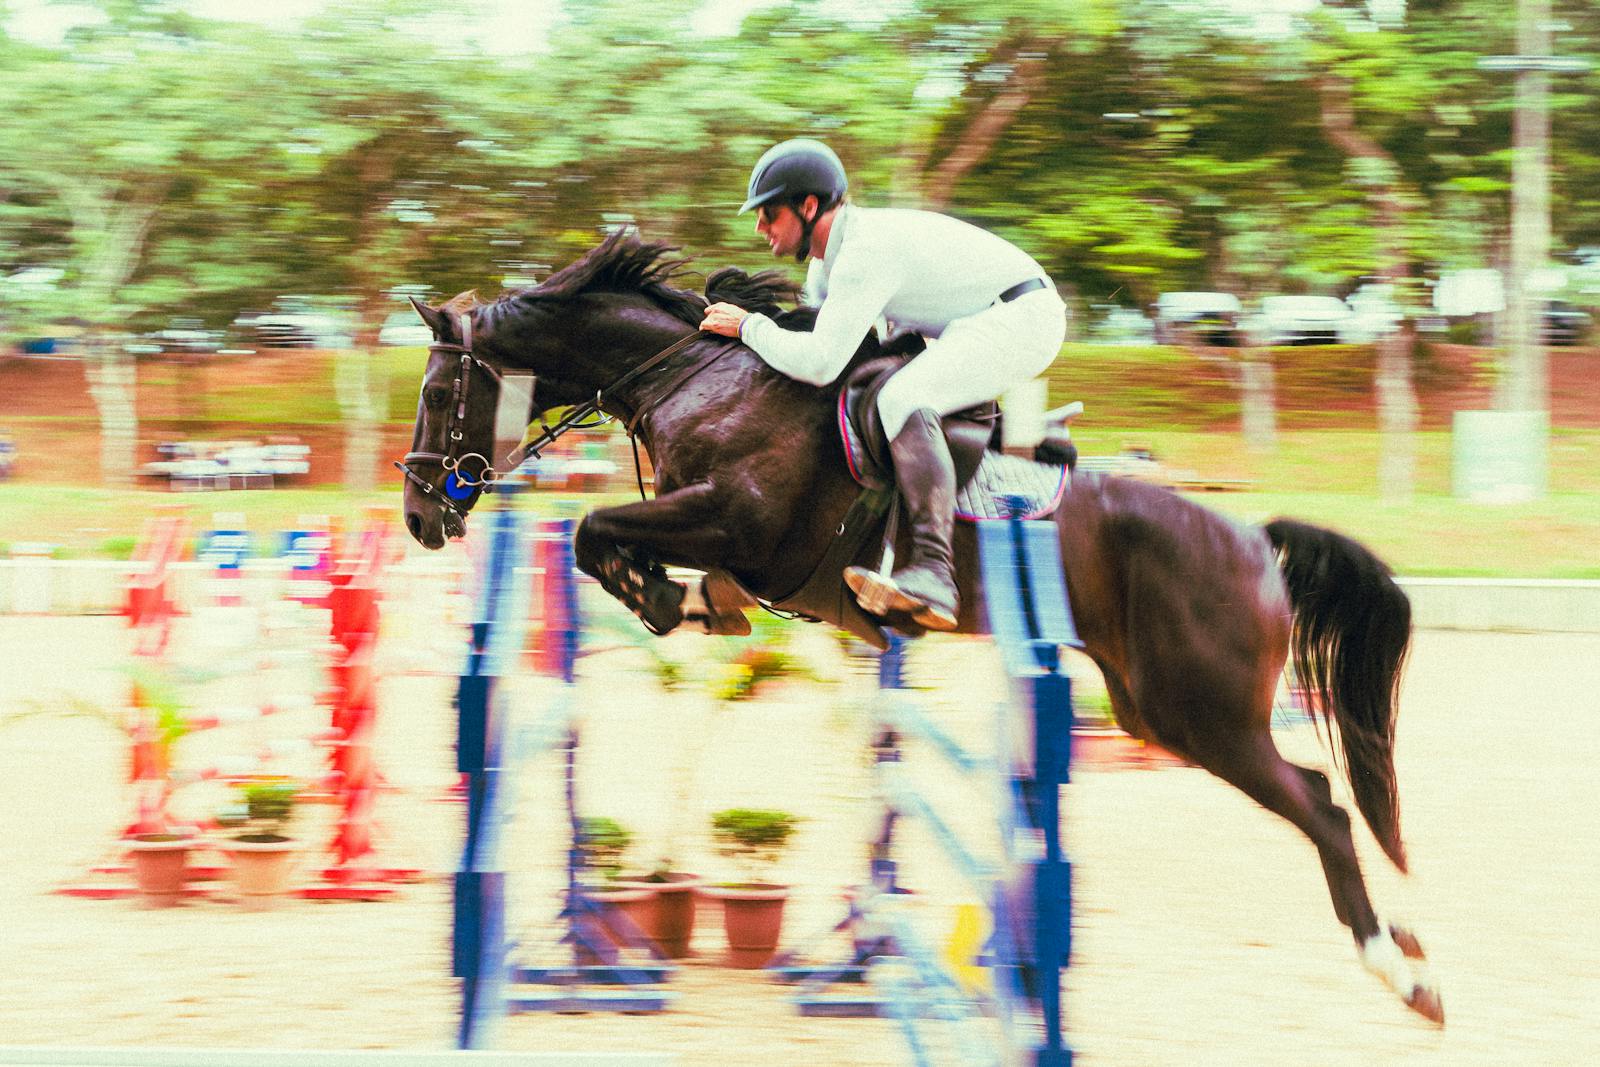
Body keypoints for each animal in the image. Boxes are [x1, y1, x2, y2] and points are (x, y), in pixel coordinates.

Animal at [399, 231, 1444, 1026]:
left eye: (441, 394)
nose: (418, 515)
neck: (695, 376)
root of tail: (1252, 541)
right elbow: (618, 542)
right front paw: (689, 600)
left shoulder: (739, 522)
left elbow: (594, 527)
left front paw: (663, 595)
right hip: (1155, 707)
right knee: (1317, 794)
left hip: (1205, 711)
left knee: (1322, 805)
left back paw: (1401, 970)